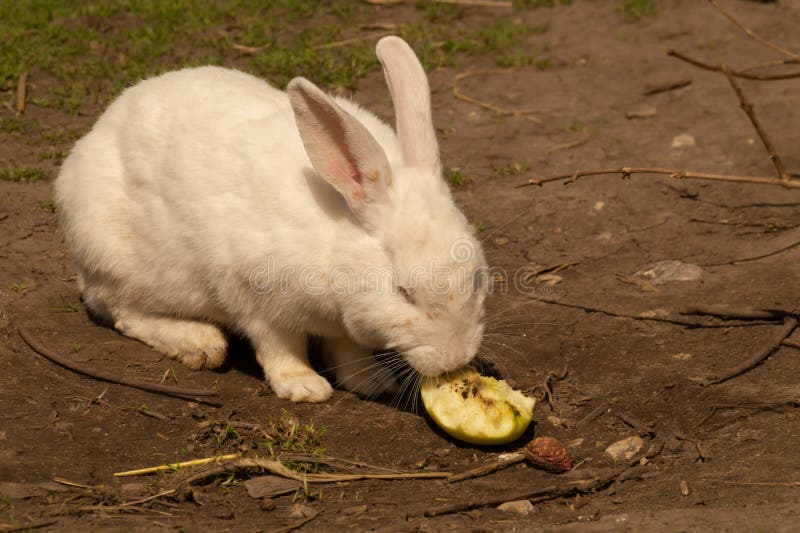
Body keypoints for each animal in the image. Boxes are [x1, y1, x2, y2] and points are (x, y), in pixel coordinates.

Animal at [55, 36, 488, 402]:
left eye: (478, 278)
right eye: (404, 293)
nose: (455, 359)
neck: (333, 242)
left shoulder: (343, 326)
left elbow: (347, 350)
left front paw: (373, 381)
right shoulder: (255, 300)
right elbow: (280, 347)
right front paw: (304, 387)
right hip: (112, 258)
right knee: (124, 314)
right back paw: (200, 342)